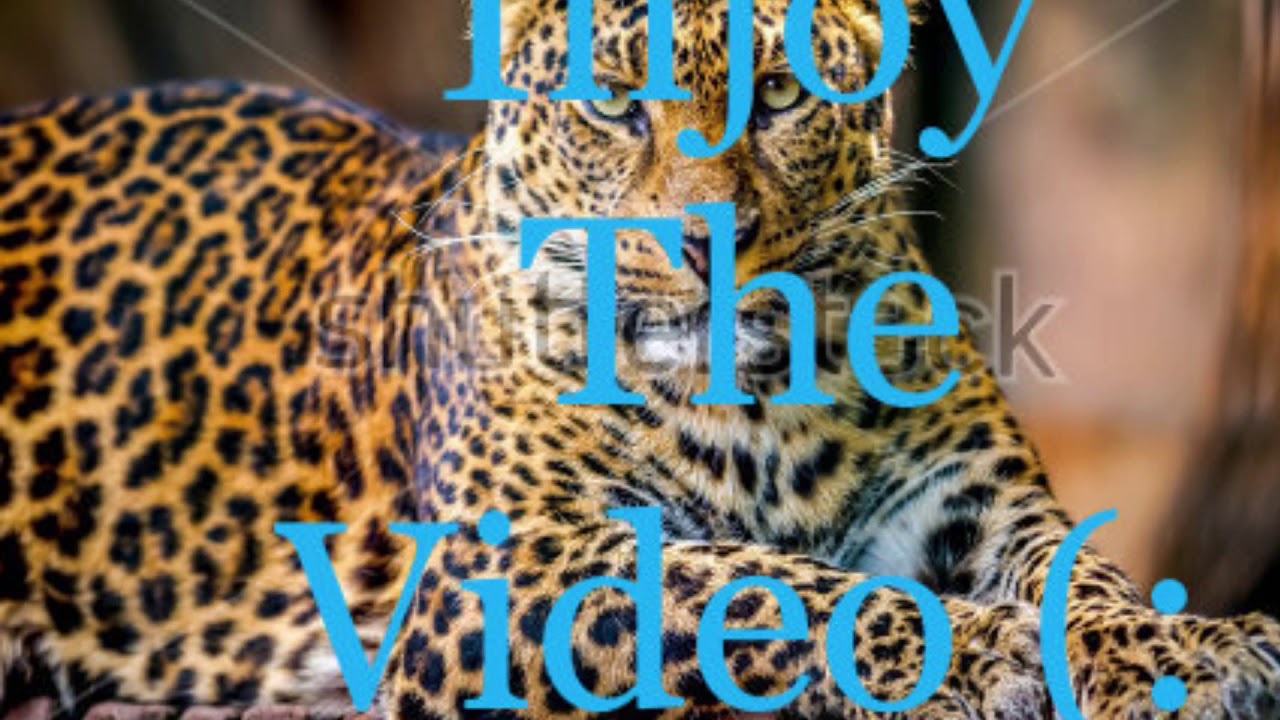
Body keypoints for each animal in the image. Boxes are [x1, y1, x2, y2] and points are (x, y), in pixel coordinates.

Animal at [0, 0, 1278, 718]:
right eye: (616, 107)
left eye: (778, 93)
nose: (706, 237)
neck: (761, 398)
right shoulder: (501, 563)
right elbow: (756, 583)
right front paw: (986, 651)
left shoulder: (972, 499)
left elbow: (1091, 582)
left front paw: (1192, 649)